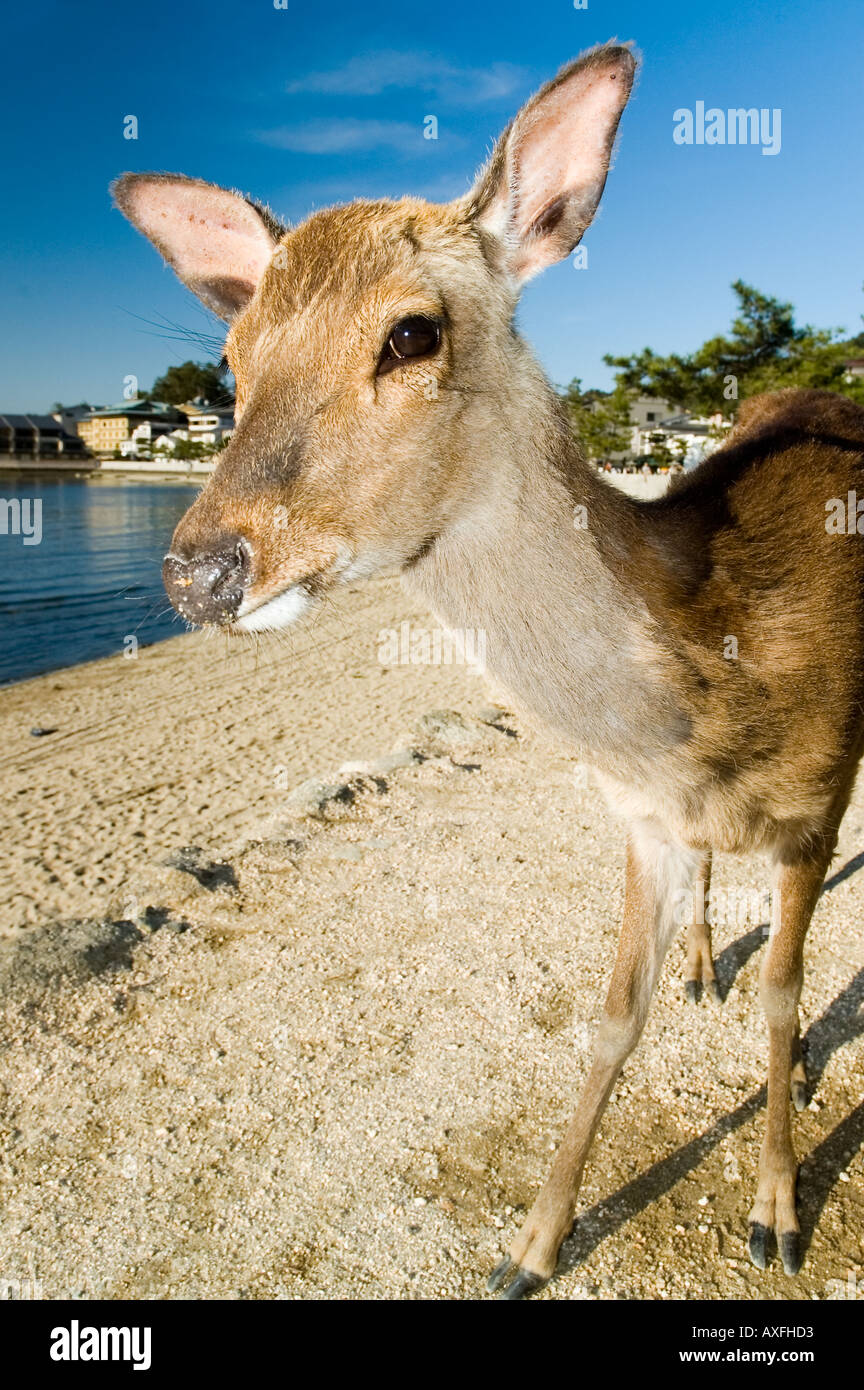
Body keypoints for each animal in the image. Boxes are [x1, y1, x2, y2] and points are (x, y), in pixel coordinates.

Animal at [113, 40, 864, 1298]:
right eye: (231, 356)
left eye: (412, 333)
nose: (200, 571)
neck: (723, 662)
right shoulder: (640, 819)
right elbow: (613, 1013)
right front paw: (534, 1243)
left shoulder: (816, 799)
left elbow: (782, 993)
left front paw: (776, 1215)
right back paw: (702, 960)